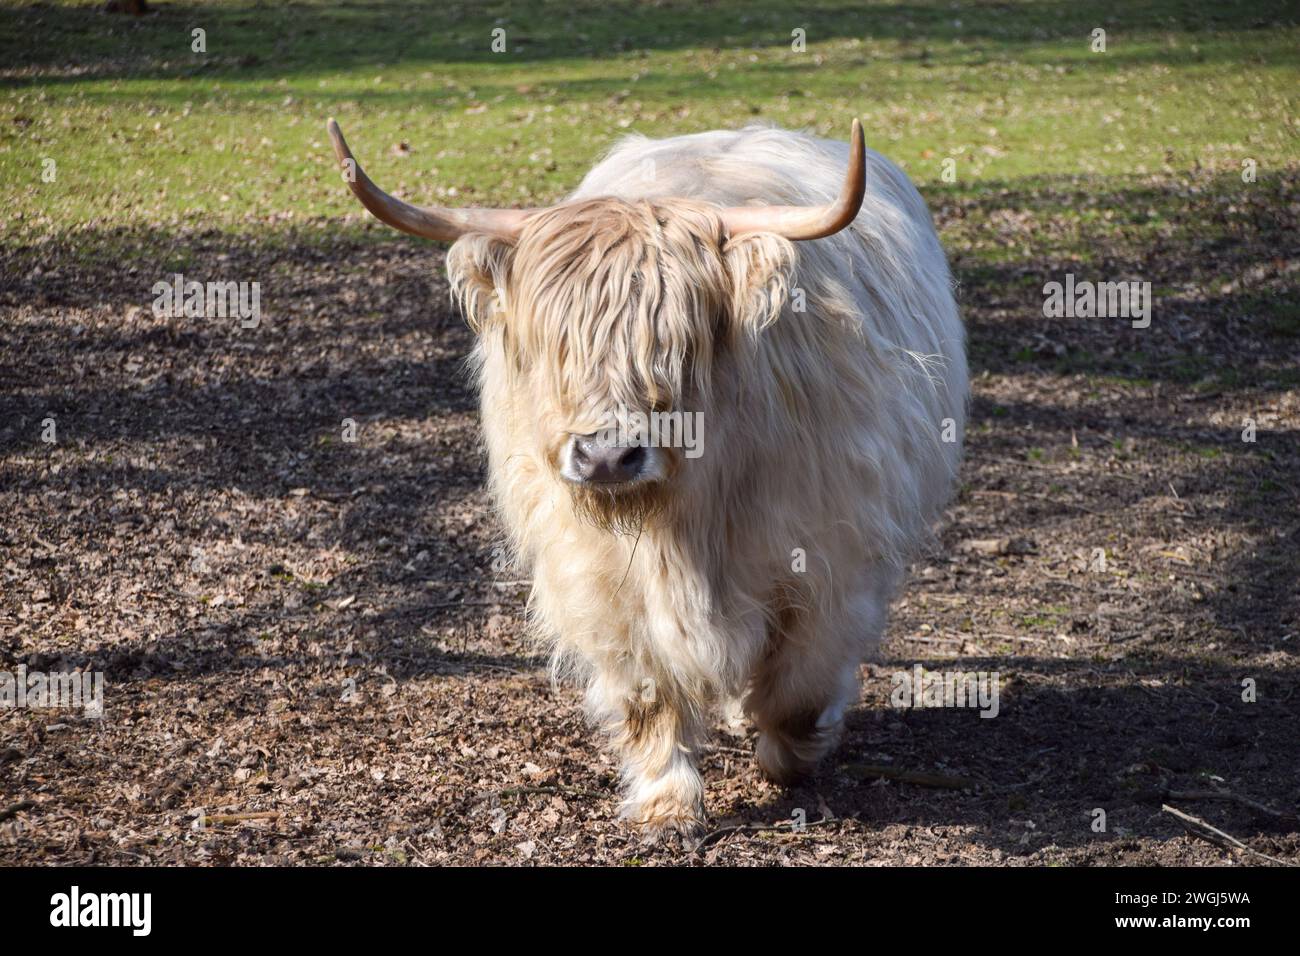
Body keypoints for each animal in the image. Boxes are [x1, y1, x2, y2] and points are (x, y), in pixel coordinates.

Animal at [327, 116, 968, 837]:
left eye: (678, 344)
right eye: (557, 343)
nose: (608, 457)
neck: (686, 521)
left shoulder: (834, 558)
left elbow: (798, 685)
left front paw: (792, 751)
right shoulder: (597, 573)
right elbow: (648, 687)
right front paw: (667, 802)